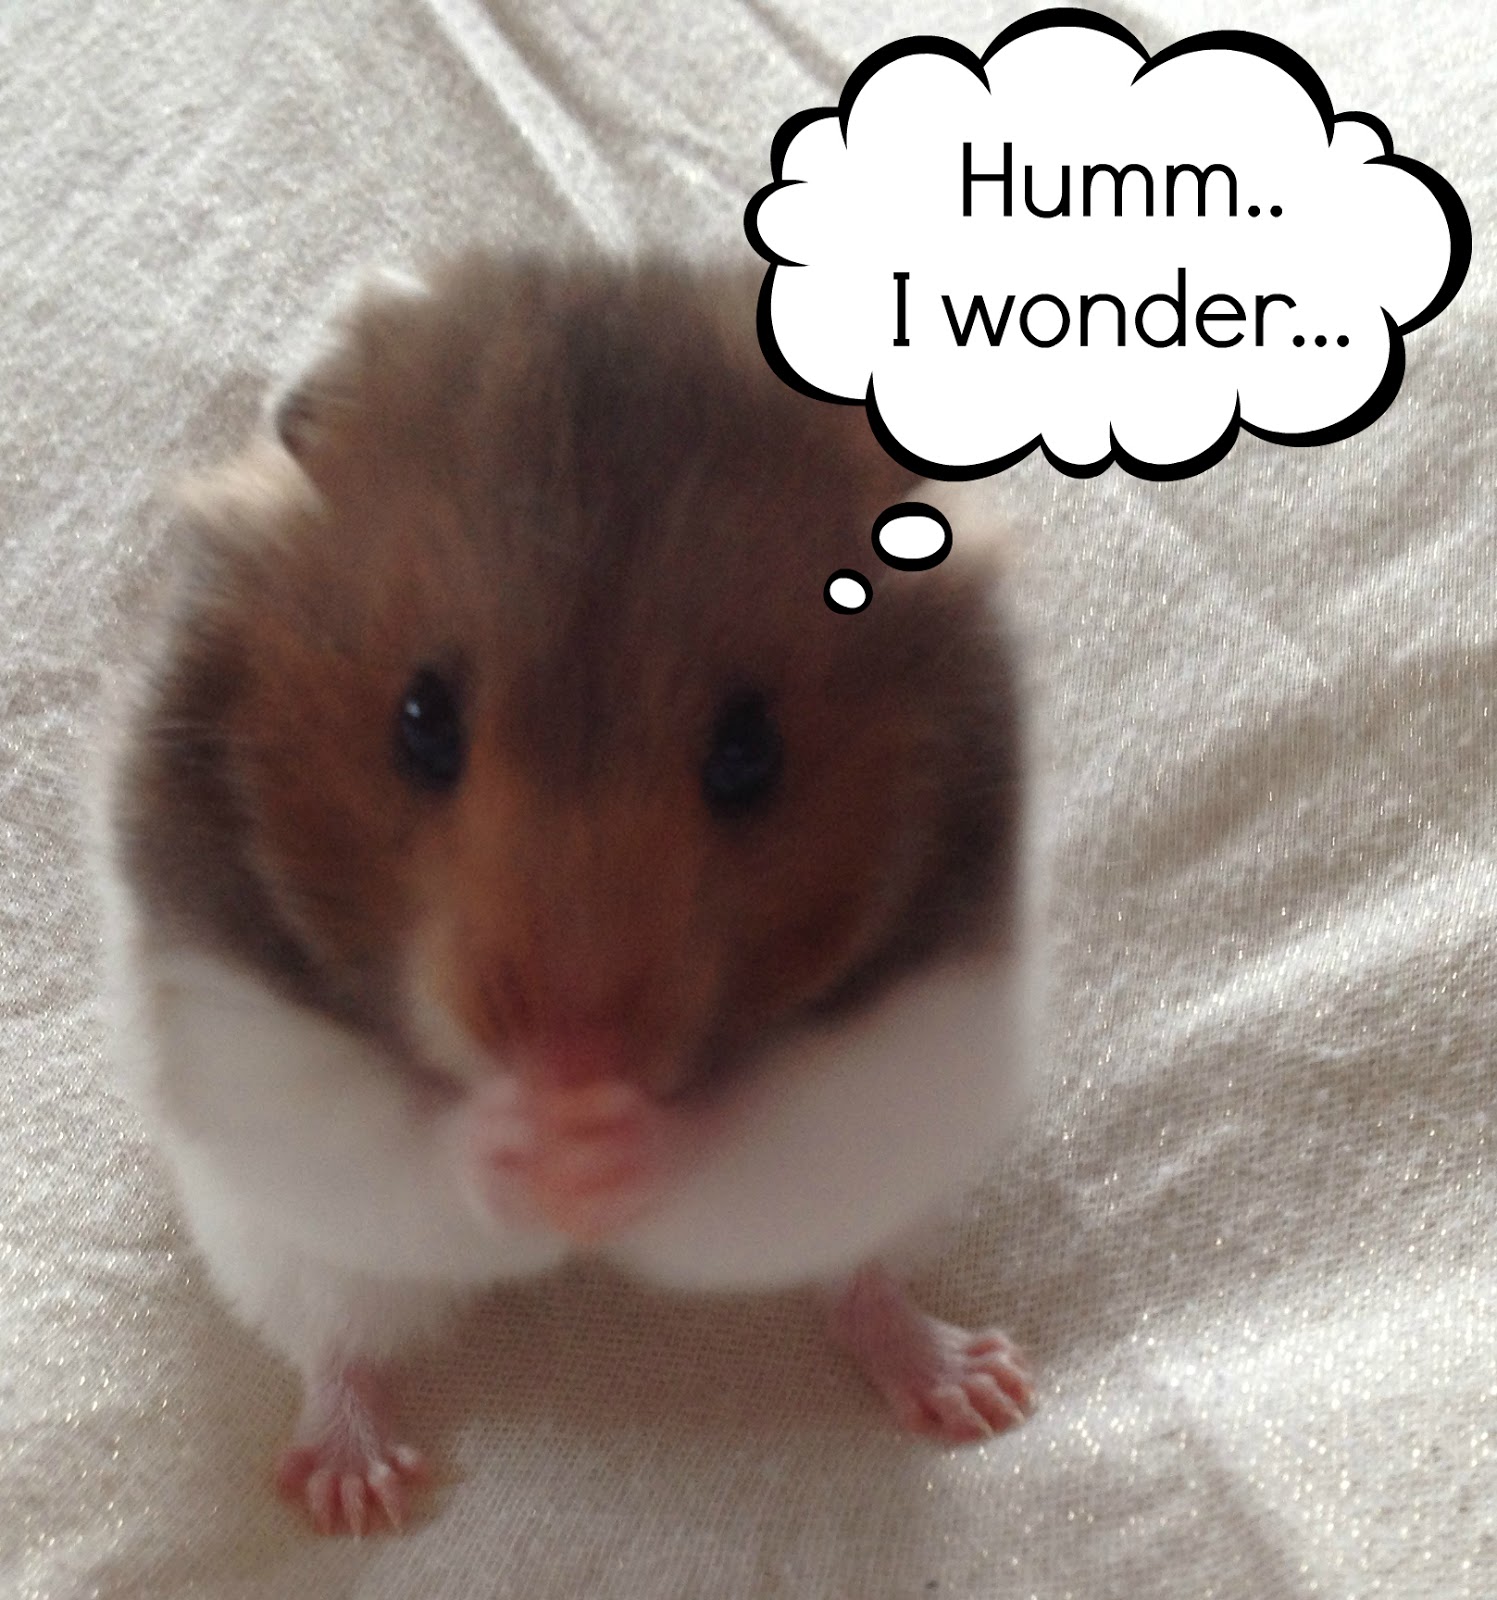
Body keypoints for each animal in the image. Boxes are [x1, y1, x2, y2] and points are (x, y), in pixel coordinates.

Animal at [98, 253, 1034, 1536]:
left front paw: (605, 1144)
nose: (572, 1056)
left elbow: (737, 1150)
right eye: (420, 721)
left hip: (899, 1192)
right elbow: (401, 1139)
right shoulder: (246, 1038)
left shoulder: (906, 1048)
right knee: (339, 1341)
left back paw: (976, 1387)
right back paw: (356, 1490)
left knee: (857, 1281)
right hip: (276, 1246)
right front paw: (525, 1136)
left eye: (750, 753)